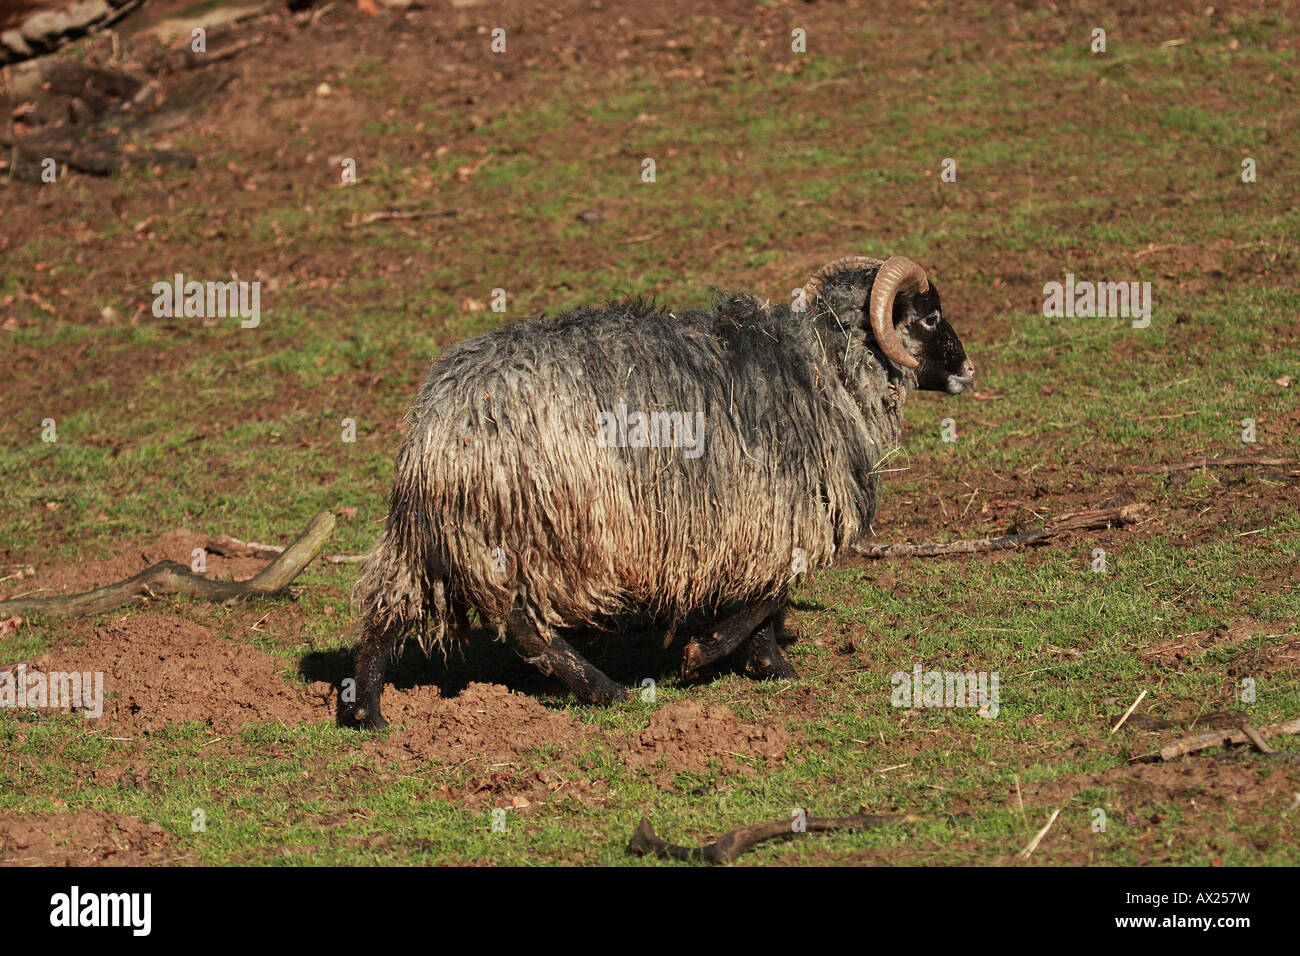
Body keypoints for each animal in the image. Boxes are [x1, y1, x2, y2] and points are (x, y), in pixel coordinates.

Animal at [349, 255, 975, 728]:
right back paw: (606, 691)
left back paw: (367, 711)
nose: (970, 369)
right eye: (929, 316)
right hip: (540, 528)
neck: (824, 369)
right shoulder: (771, 512)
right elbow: (770, 594)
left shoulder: (763, 519)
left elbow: (769, 598)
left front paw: (770, 667)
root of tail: (439, 422)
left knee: (391, 605)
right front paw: (705, 656)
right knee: (524, 626)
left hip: (450, 531)